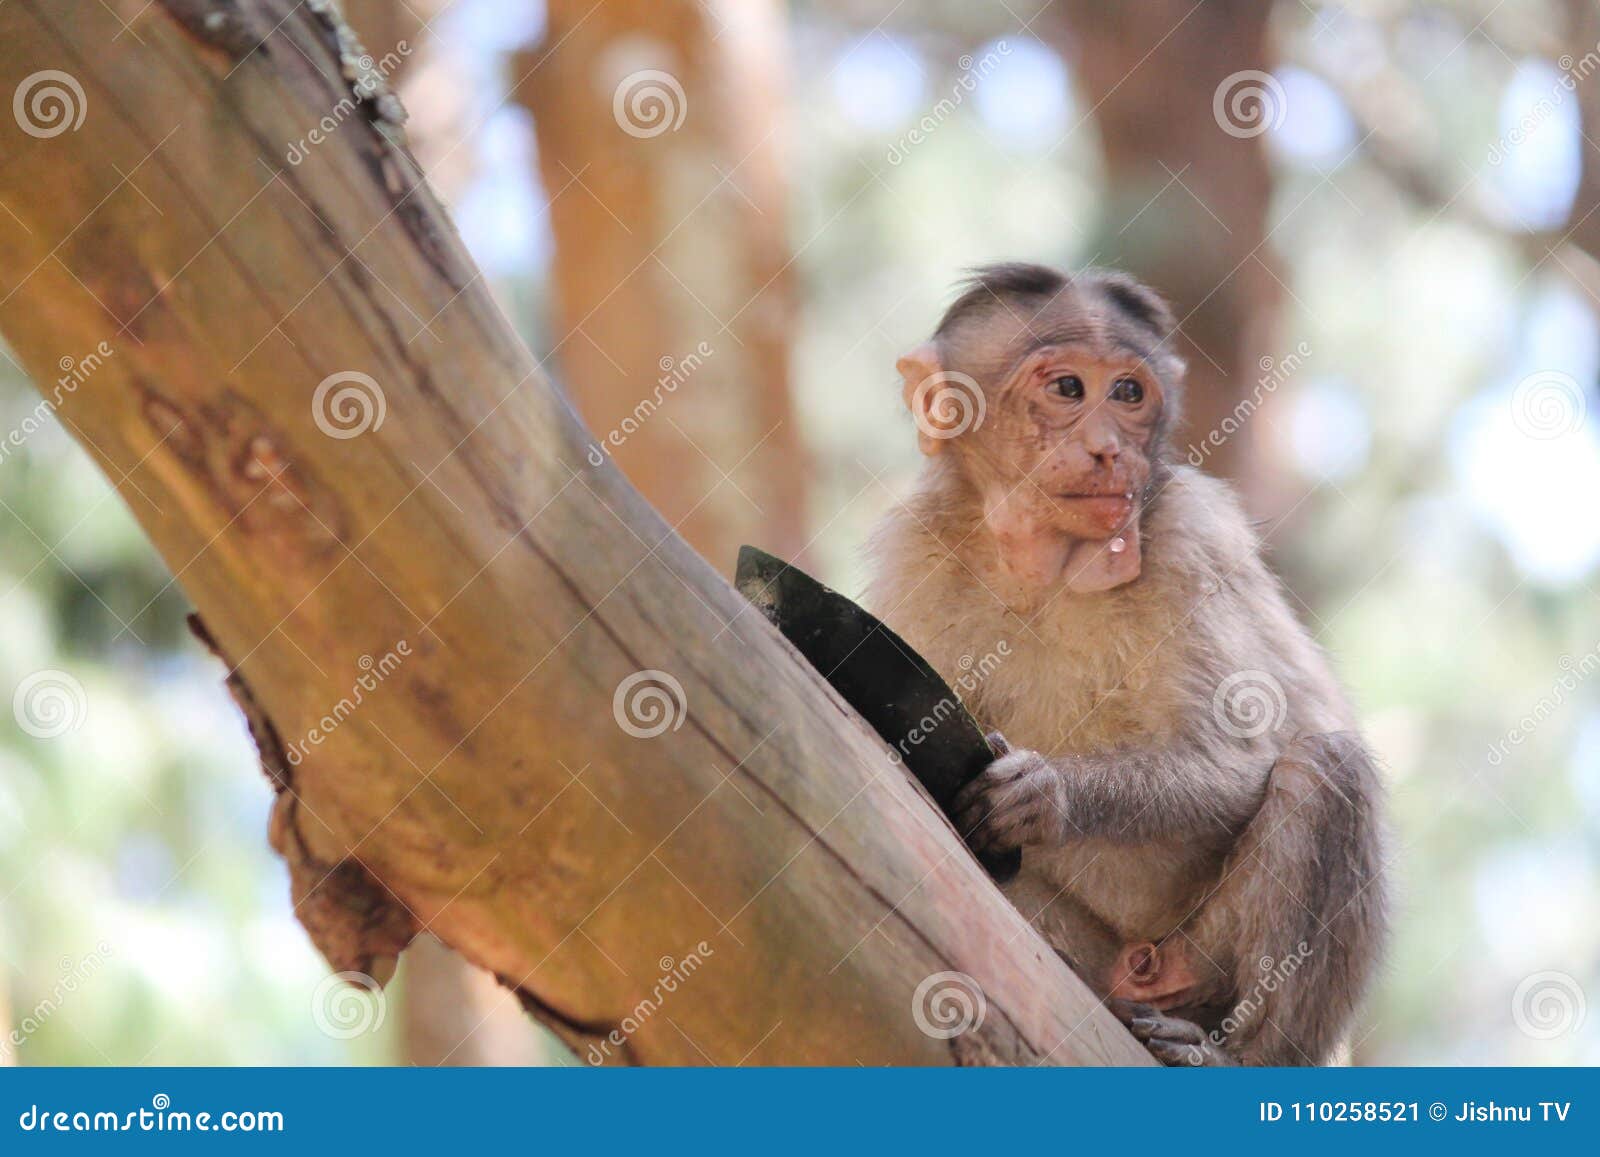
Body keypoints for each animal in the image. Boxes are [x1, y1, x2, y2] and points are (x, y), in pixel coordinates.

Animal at [864, 263, 1388, 1066]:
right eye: (1067, 388)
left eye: (1129, 394)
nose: (1111, 449)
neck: (1046, 564)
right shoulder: (913, 551)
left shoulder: (1192, 536)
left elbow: (1242, 759)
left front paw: (1044, 795)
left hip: (1198, 964)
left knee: (1325, 770)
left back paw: (1237, 1055)